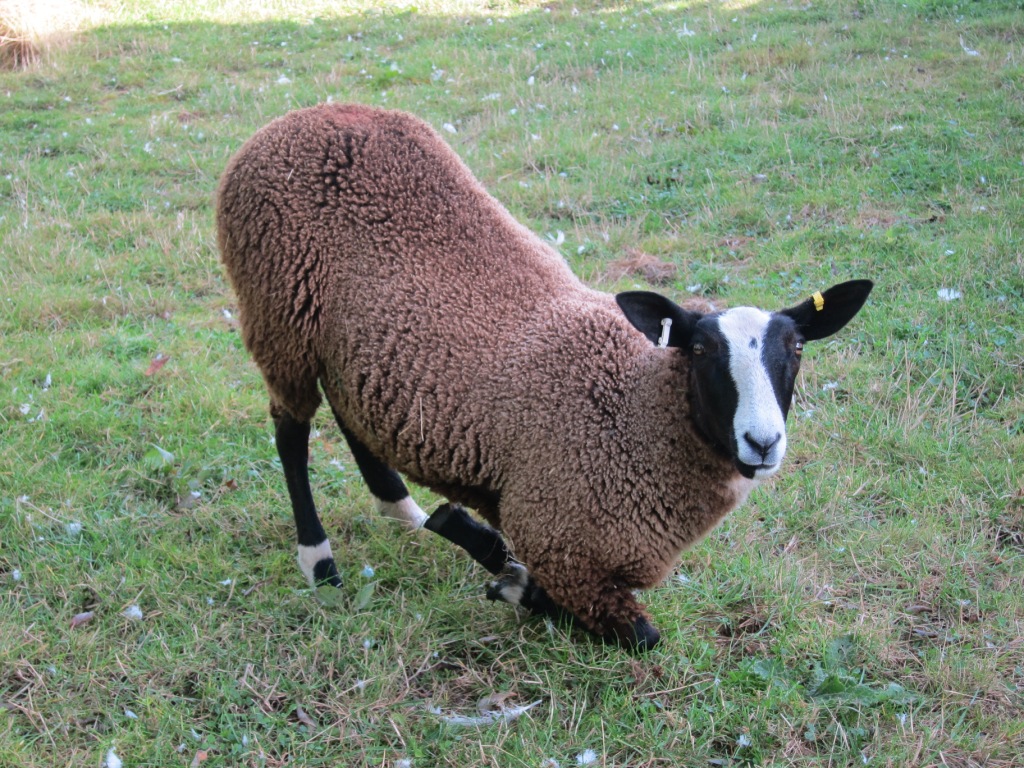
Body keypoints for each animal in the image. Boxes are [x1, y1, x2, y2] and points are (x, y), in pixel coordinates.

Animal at [216, 103, 873, 651]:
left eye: (796, 348)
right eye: (703, 349)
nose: (763, 442)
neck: (637, 412)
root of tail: (298, 118)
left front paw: (470, 541)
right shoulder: (558, 540)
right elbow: (639, 634)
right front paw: (491, 560)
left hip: (342, 346)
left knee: (350, 413)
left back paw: (400, 508)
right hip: (280, 319)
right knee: (291, 433)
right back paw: (319, 560)